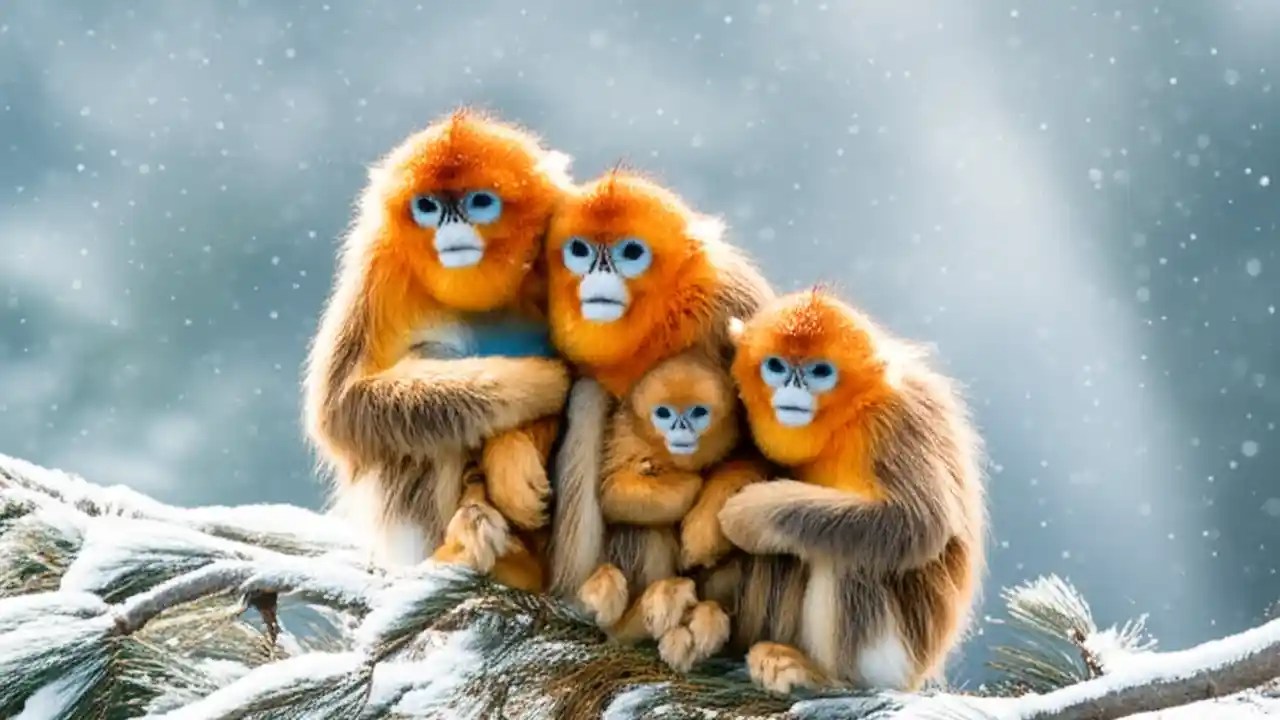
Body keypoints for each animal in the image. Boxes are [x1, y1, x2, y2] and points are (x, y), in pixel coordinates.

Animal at [303, 109, 575, 569]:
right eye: (428, 206)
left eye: (479, 202)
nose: (452, 230)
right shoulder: (381, 262)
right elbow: (341, 405)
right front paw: (541, 383)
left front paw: (511, 463)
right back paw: (471, 525)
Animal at [540, 169, 776, 607]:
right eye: (580, 250)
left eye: (631, 252)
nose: (598, 277)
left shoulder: (734, 302)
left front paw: (704, 526)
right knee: (587, 397)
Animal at [575, 352, 739, 671]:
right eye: (663, 413)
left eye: (698, 412)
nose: (680, 428)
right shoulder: (627, 434)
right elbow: (612, 492)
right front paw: (686, 482)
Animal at [714, 288, 987, 693]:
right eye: (776, 366)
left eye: (820, 372)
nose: (792, 389)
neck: (846, 418)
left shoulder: (895, 421)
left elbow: (919, 522)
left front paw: (746, 516)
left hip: (896, 660)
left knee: (851, 554)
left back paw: (827, 678)